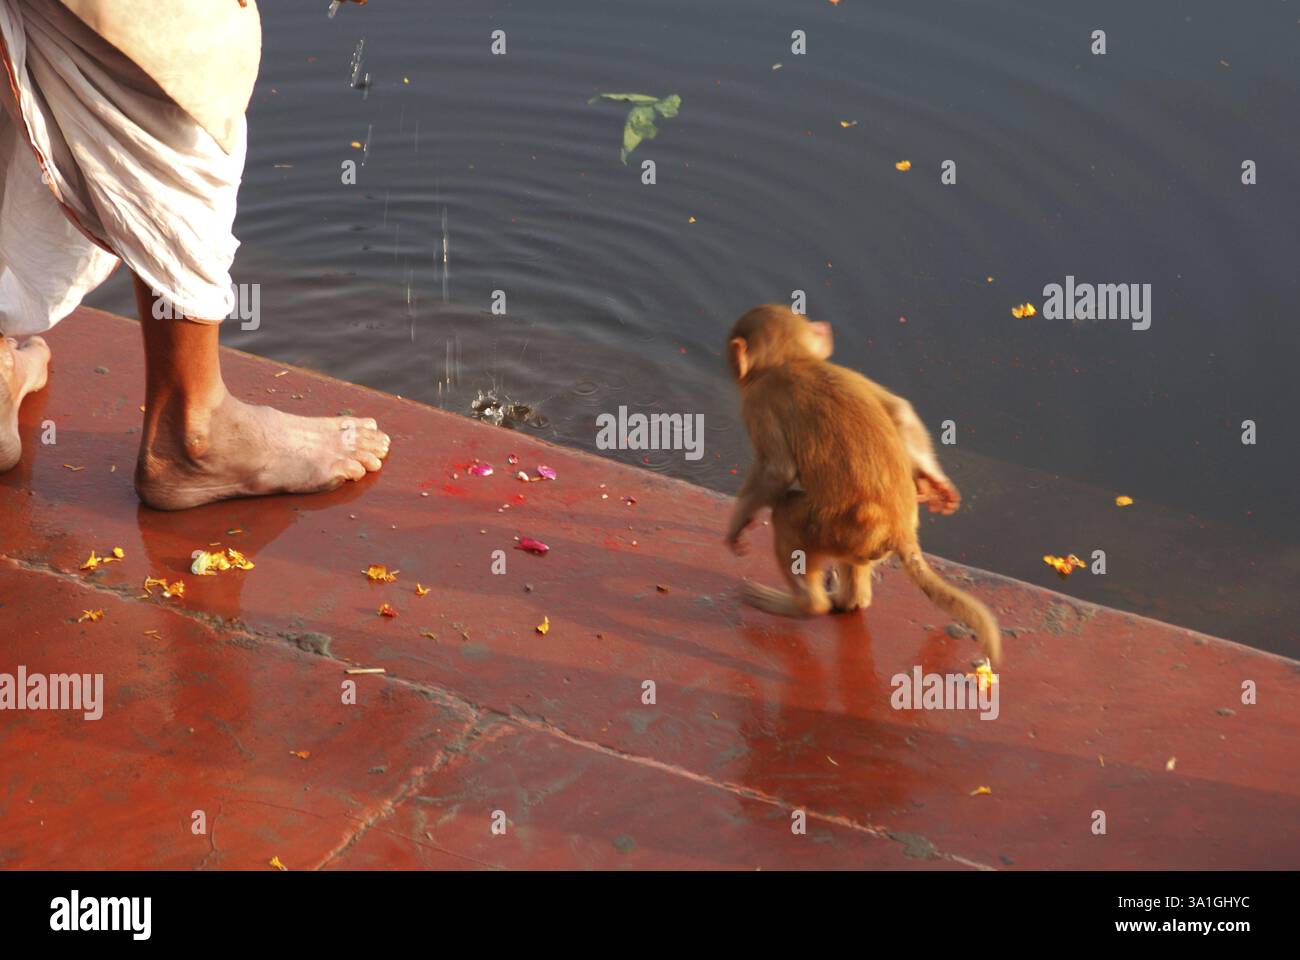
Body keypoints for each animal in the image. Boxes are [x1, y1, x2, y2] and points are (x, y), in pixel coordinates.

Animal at [724, 304, 1001, 668]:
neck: (794, 360)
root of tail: (901, 530)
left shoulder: (759, 401)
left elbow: (777, 472)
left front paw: (737, 525)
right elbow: (899, 410)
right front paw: (936, 483)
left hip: (833, 527)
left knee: (786, 514)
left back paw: (806, 605)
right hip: (860, 540)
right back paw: (848, 601)